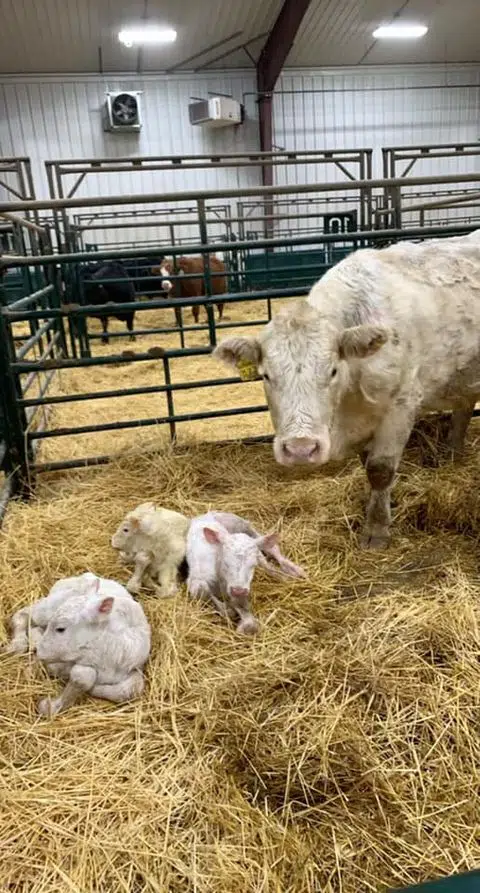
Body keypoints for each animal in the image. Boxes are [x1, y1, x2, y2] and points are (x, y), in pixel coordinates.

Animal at [213, 230, 480, 550]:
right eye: (266, 375)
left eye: (332, 371)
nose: (300, 449)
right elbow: (369, 467)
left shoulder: (402, 405)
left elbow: (380, 469)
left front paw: (377, 530)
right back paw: (452, 453)